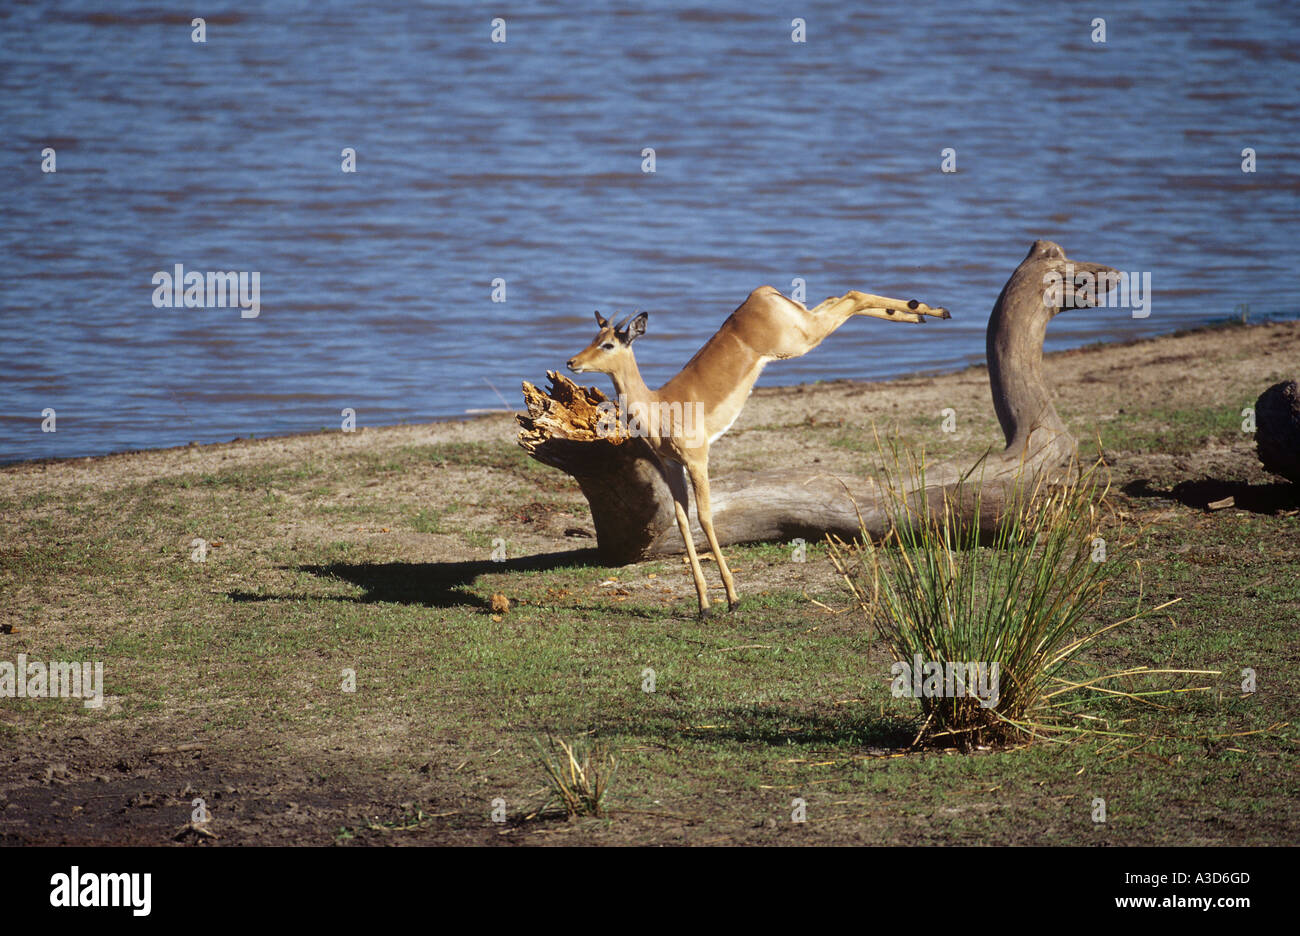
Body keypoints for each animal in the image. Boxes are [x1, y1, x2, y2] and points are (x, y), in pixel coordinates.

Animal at [567, 285, 950, 617]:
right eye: (593, 338)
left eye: (608, 343)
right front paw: (704, 606)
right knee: (837, 298)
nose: (572, 361)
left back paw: (934, 311)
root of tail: (760, 293)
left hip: (802, 339)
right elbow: (683, 522)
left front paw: (732, 598)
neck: (659, 406)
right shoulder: (673, 466)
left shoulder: (698, 460)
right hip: (804, 327)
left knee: (852, 297)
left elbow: (705, 519)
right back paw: (922, 314)